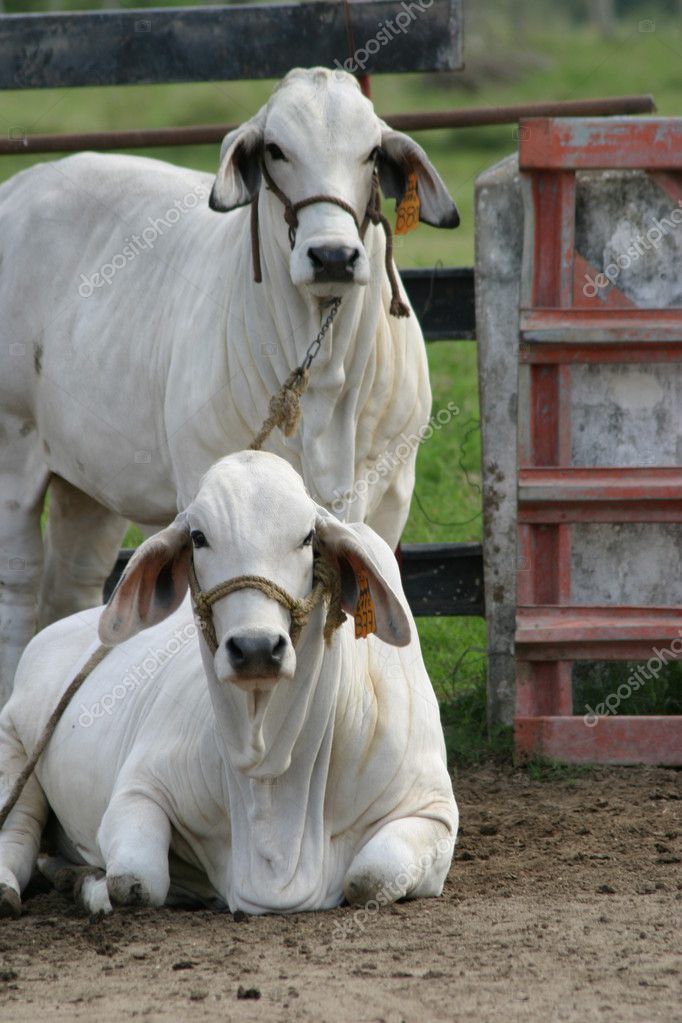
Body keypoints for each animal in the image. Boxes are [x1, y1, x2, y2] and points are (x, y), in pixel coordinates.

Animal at [0, 66, 459, 704]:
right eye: (276, 150)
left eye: (371, 152)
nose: (333, 255)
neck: (325, 369)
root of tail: (23, 185)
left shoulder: (391, 493)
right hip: (12, 449)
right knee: (18, 583)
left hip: (88, 483)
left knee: (72, 584)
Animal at [0, 451, 458, 917]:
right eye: (199, 537)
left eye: (308, 537)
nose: (256, 648)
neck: (271, 767)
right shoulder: (138, 789)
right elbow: (135, 881)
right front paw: (93, 886)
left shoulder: (432, 811)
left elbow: (370, 878)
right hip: (13, 749)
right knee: (16, 836)